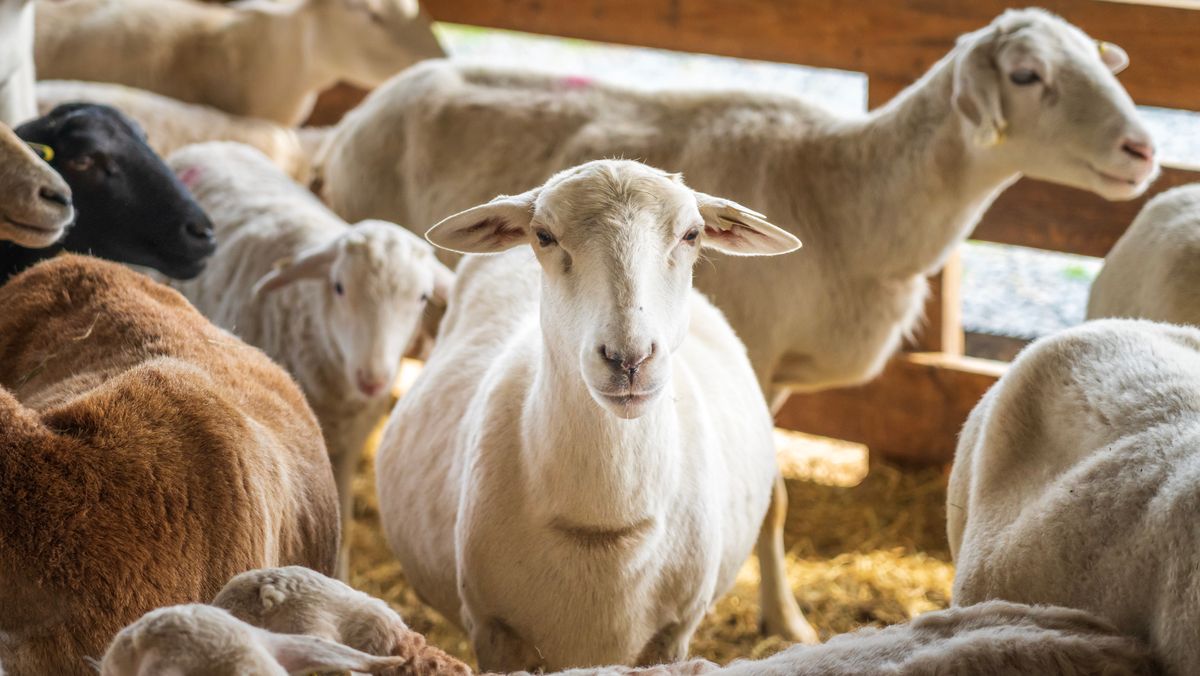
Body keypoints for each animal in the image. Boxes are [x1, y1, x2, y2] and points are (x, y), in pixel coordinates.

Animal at [376, 159, 801, 671]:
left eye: (692, 234)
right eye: (544, 235)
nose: (628, 359)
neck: (604, 522)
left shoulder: (673, 632)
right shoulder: (494, 630)